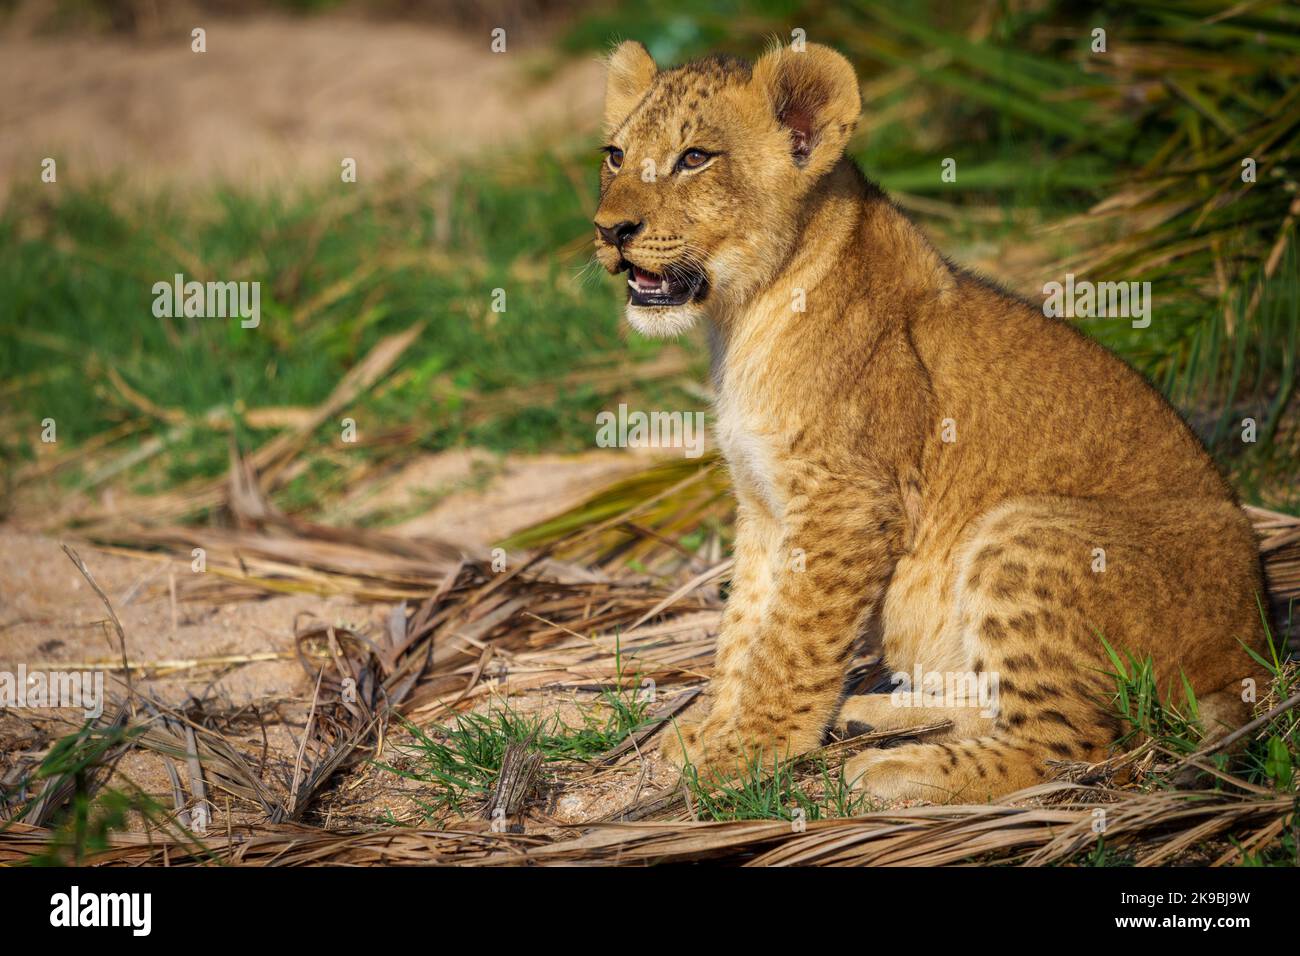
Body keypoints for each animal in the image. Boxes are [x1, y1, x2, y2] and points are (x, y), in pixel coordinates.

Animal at [591, 40, 1268, 802]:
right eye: (615, 155)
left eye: (695, 158)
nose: (610, 231)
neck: (740, 319)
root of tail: (1251, 654)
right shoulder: (764, 506)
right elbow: (744, 630)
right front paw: (706, 732)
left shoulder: (848, 504)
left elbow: (790, 641)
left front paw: (746, 755)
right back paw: (869, 715)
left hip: (1025, 529)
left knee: (1072, 743)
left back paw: (893, 768)